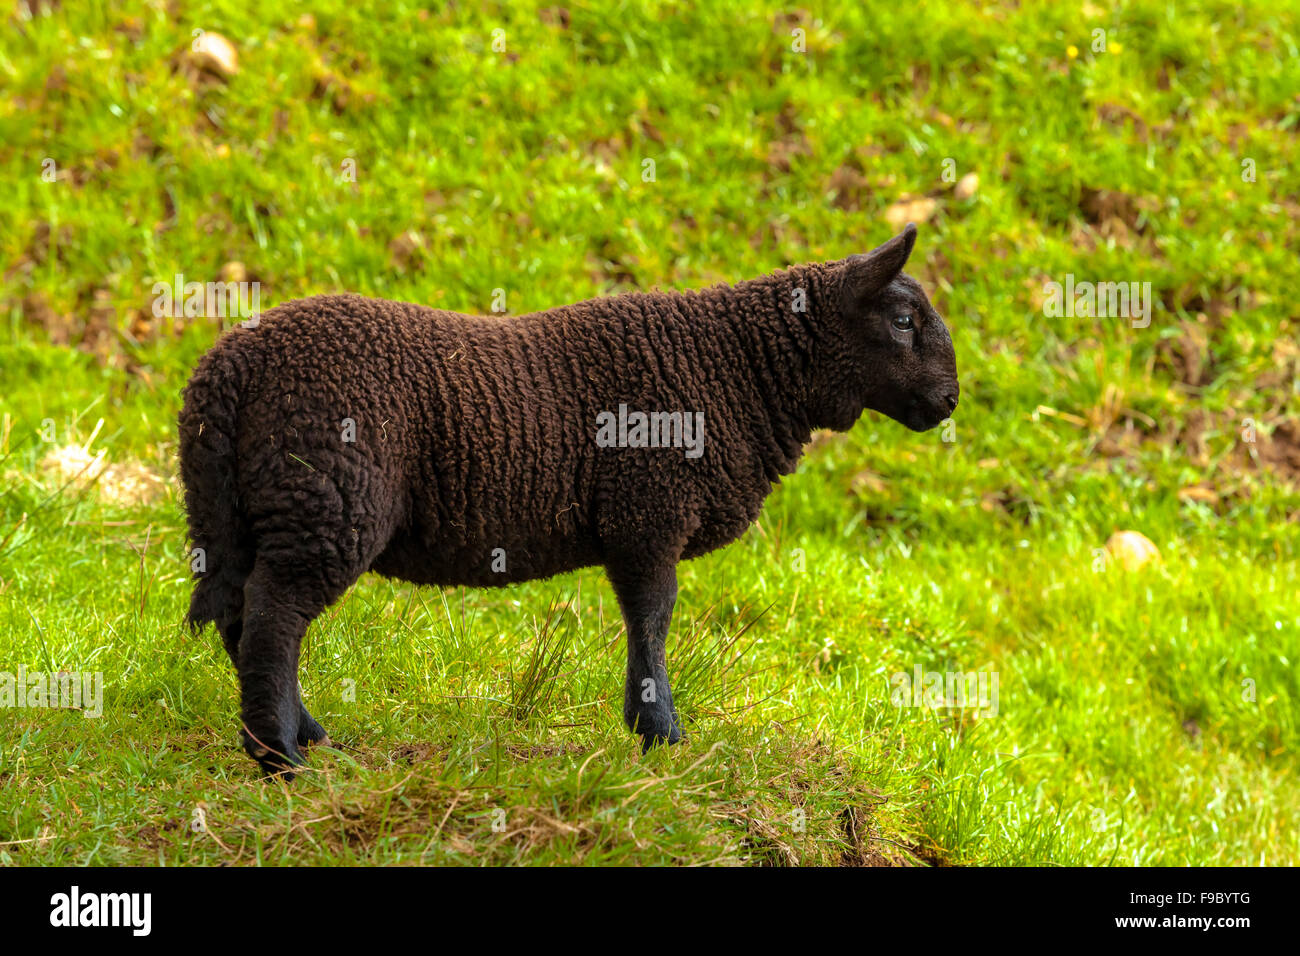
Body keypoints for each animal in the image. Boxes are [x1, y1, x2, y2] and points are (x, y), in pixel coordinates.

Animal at [178, 223, 959, 776]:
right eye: (902, 321)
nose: (950, 401)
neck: (740, 370)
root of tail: (227, 368)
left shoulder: (641, 519)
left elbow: (648, 621)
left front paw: (655, 733)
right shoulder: (648, 512)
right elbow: (653, 620)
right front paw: (661, 736)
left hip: (246, 510)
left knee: (242, 618)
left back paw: (304, 736)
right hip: (326, 498)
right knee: (274, 620)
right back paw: (282, 760)